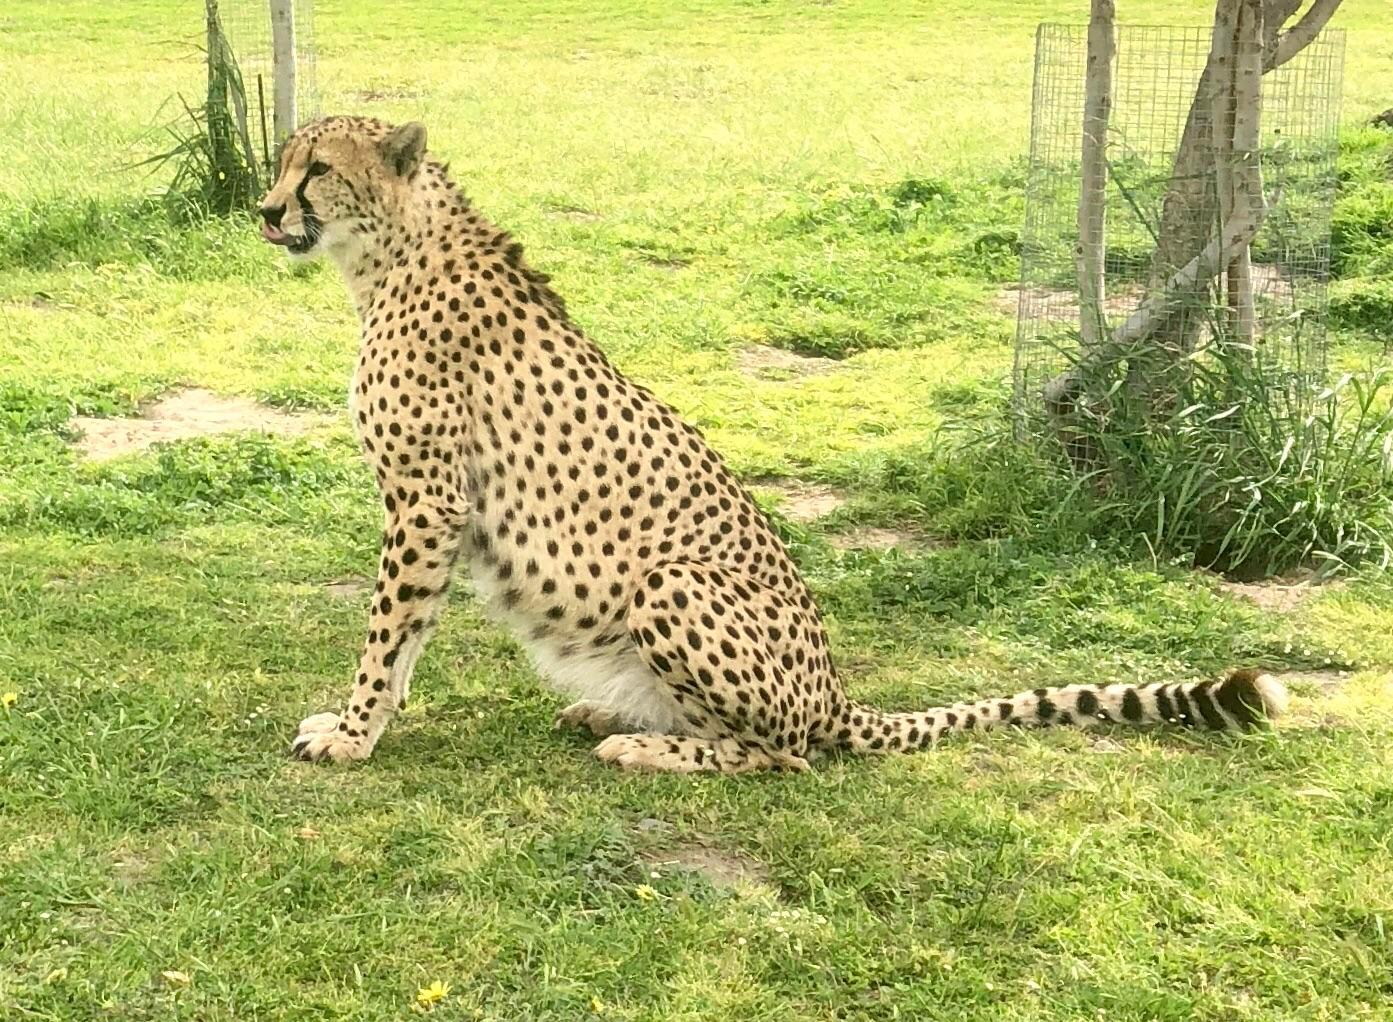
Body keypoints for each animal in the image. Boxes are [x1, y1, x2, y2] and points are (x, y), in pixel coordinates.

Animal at [257, 115, 1288, 773]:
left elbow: (389, 632)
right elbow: (406, 632)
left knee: (783, 755)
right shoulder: (435, 505)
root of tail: (833, 691)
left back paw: (643, 745)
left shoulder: (426, 499)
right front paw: (363, 726)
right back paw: (614, 709)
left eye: (317, 170)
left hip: (672, 584)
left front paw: (351, 732)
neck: (391, 254)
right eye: (280, 162)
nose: (267, 211)